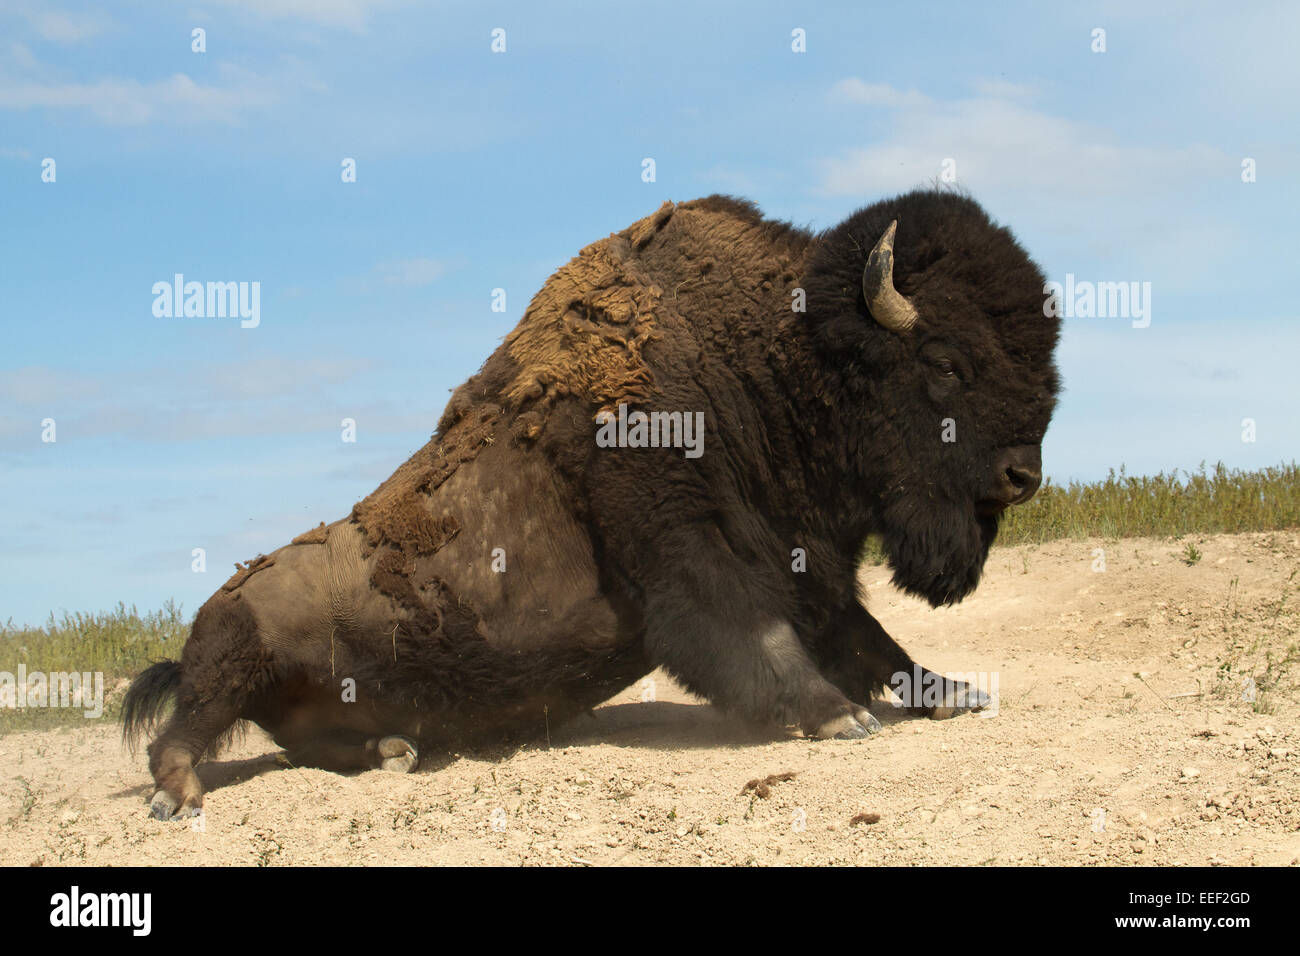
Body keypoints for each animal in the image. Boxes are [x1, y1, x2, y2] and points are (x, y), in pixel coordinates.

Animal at [125, 190, 1060, 819]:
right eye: (946, 361)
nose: (1024, 474)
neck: (771, 358)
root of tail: (219, 603)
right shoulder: (688, 542)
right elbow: (754, 631)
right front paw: (840, 719)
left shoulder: (808, 556)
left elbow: (868, 637)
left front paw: (952, 692)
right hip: (228, 658)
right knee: (179, 733)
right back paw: (179, 797)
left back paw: (393, 751)